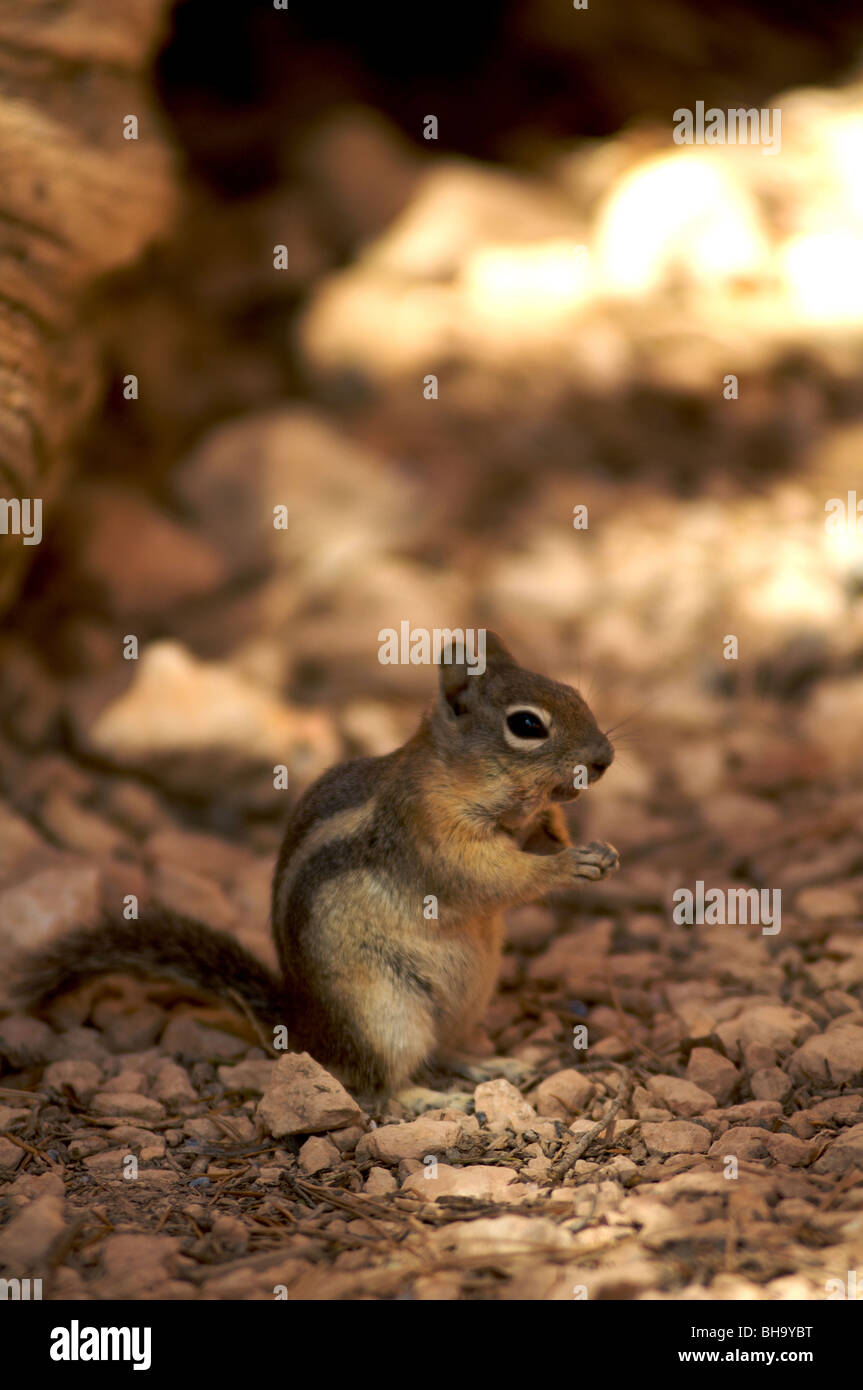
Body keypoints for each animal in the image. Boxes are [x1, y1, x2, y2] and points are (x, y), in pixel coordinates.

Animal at [14, 633, 618, 1102]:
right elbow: (490, 877)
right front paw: (570, 863)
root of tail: (305, 1028)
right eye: (527, 725)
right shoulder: (433, 832)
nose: (605, 760)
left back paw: (491, 1064)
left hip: (465, 1001)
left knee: (445, 1051)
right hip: (384, 1015)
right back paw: (429, 1101)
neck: (464, 779)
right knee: (383, 1083)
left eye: (575, 695)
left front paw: (580, 842)